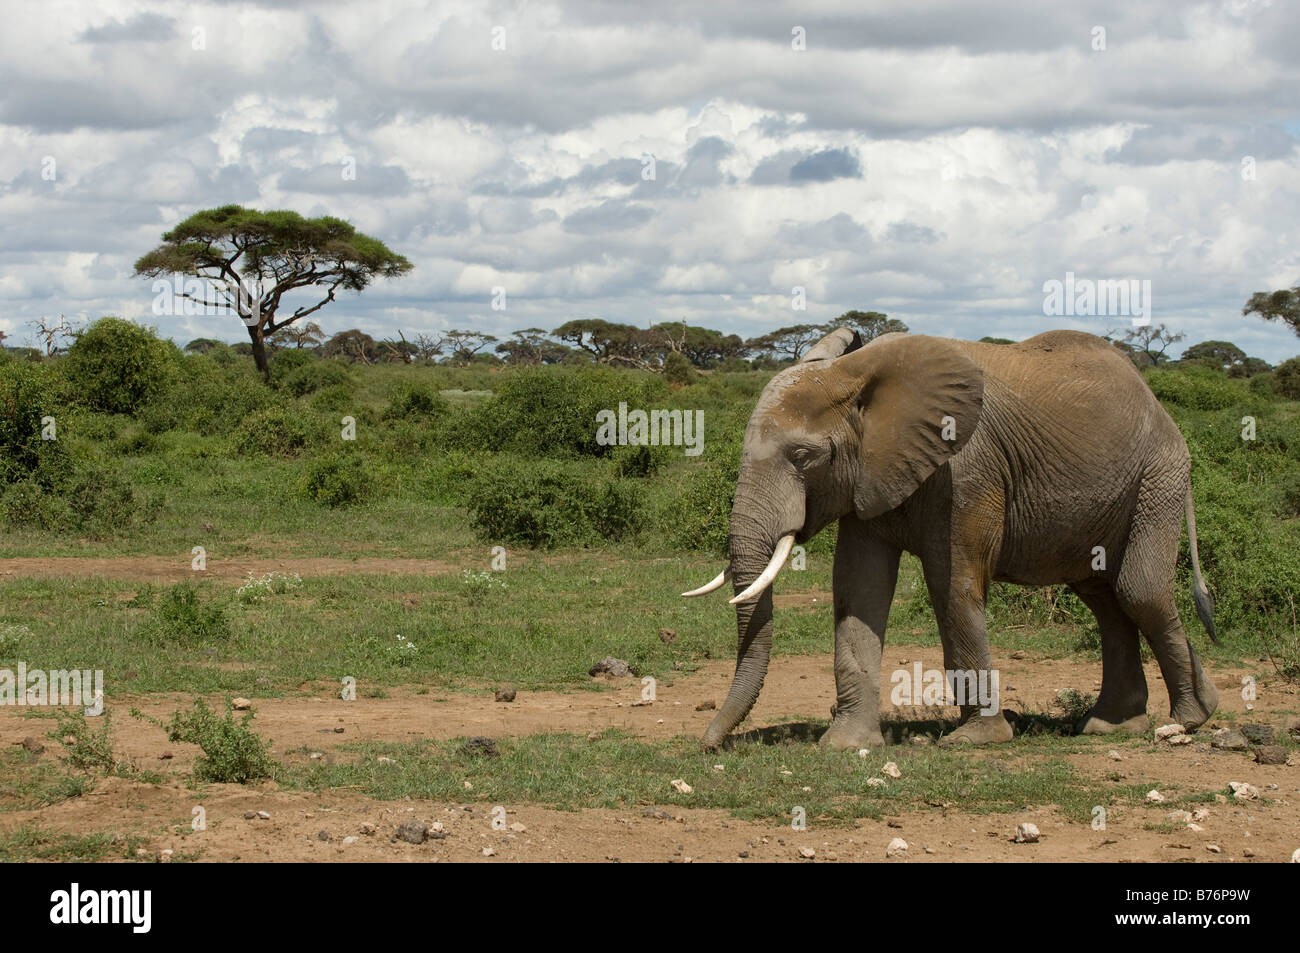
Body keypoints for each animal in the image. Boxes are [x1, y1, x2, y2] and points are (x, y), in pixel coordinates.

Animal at [683, 328, 1219, 751]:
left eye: (803, 457)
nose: (709, 744)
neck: (855, 374)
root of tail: (1157, 403)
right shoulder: (868, 474)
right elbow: (858, 590)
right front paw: (845, 745)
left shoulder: (967, 471)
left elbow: (952, 586)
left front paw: (976, 740)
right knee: (1105, 598)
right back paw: (1120, 725)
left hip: (1159, 477)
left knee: (1137, 590)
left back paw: (1186, 720)